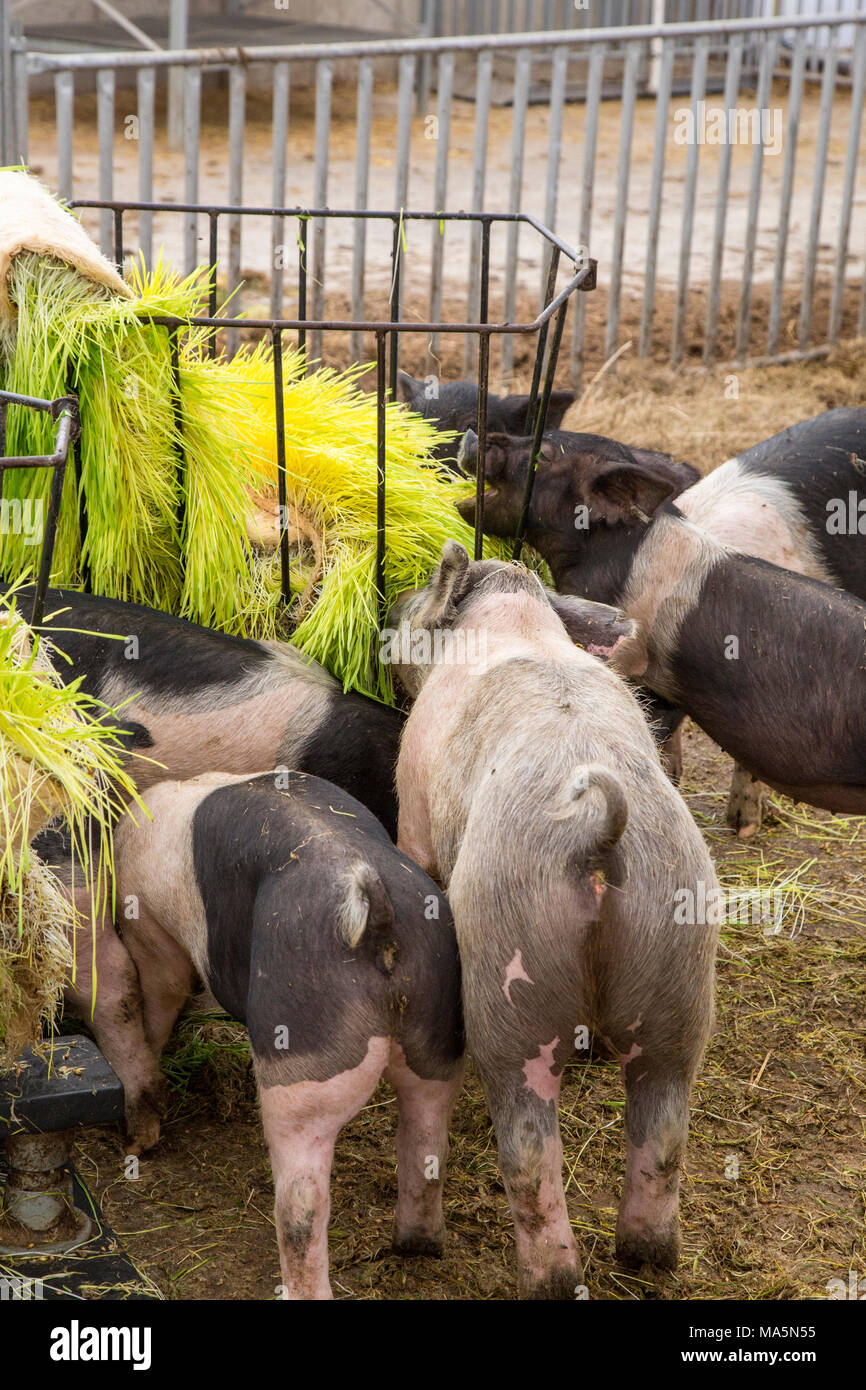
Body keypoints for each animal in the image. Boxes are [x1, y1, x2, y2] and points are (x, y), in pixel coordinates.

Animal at [111, 769, 464, 1298]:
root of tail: (370, 897)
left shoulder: (150, 925)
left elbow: (161, 991)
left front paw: (139, 1145)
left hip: (301, 1042)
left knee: (301, 1202)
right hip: (438, 1019)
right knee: (428, 1136)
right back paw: (417, 1245)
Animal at [391, 543, 719, 1298]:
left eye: (418, 598)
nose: (387, 608)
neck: (517, 621)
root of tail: (597, 832)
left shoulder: (412, 815)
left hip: (510, 967)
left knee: (528, 1144)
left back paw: (550, 1277)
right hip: (679, 961)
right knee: (663, 1124)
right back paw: (648, 1256)